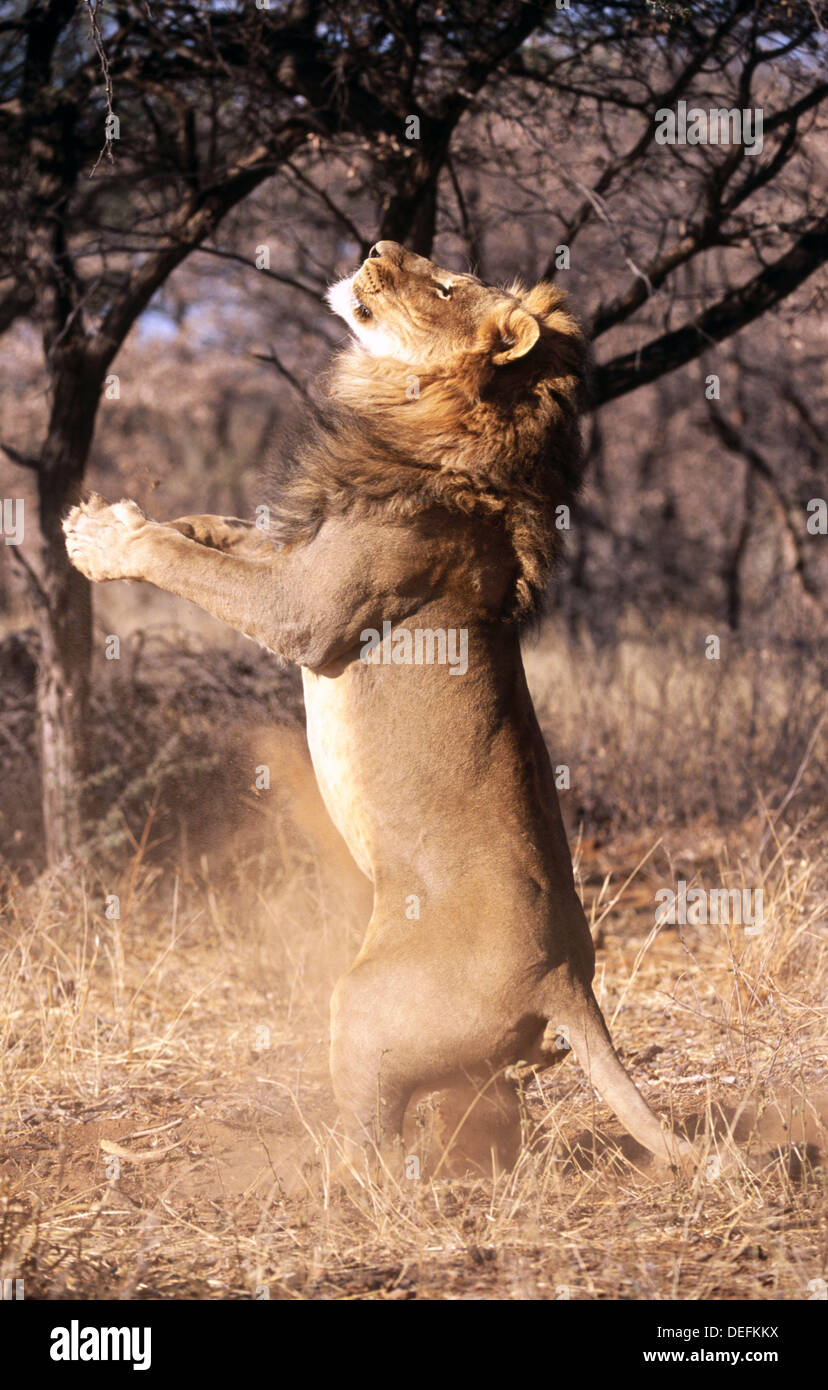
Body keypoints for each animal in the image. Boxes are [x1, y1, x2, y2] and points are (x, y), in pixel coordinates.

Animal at [64, 239, 695, 1177]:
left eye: (442, 285)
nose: (378, 247)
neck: (427, 423)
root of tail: (569, 981)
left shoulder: (306, 610)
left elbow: (185, 560)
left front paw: (101, 537)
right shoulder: (295, 544)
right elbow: (212, 528)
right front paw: (126, 513)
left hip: (363, 1005)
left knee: (378, 1155)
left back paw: (317, 1179)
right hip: (471, 1063)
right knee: (483, 1130)